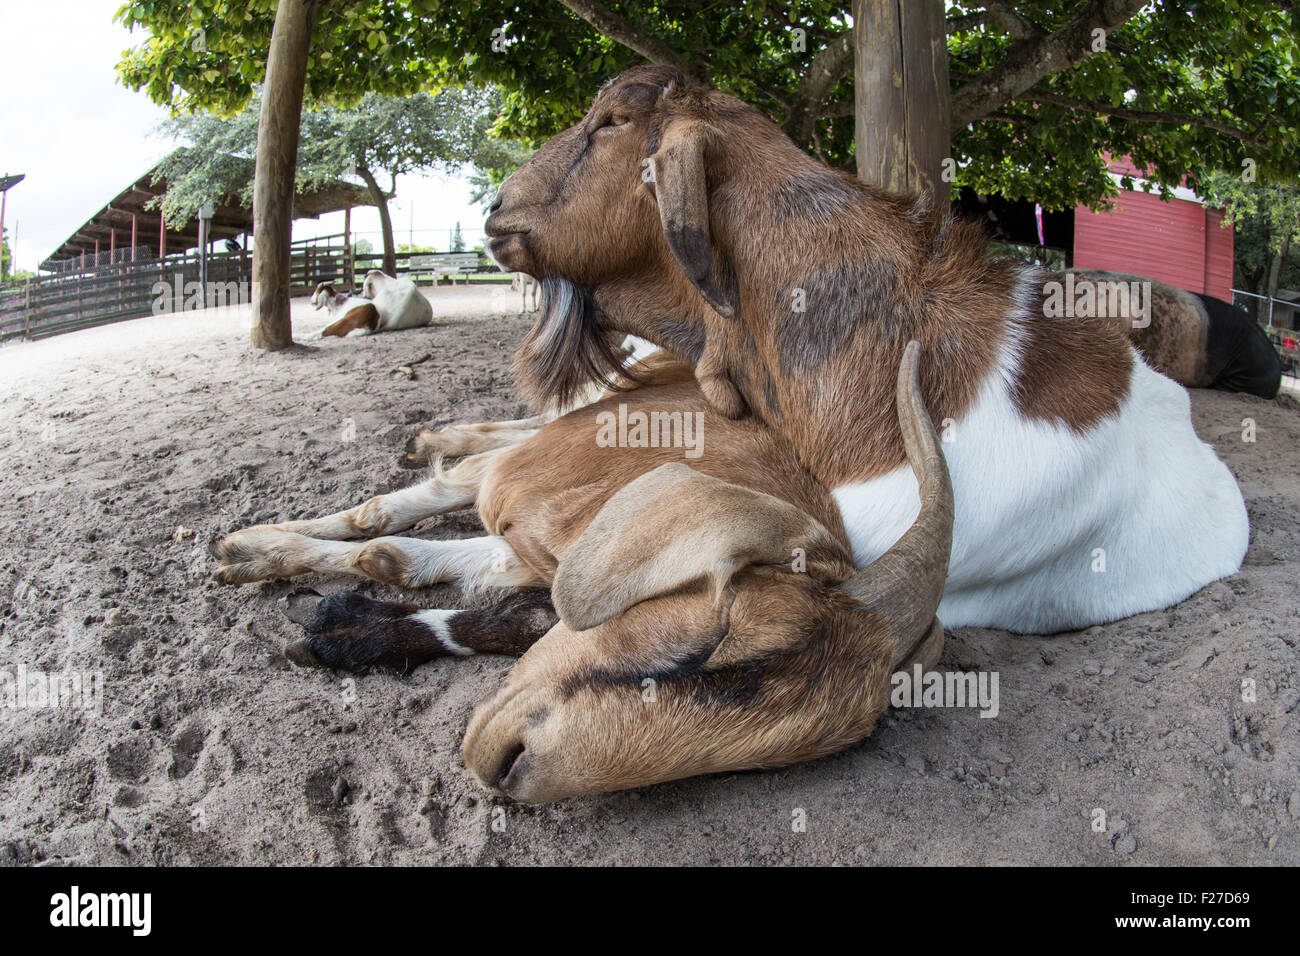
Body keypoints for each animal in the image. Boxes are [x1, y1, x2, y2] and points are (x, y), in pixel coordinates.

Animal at [214, 343, 952, 801]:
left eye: (748, 763)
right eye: (718, 639)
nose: (505, 765)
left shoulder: (531, 548)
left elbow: (425, 569)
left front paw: (340, 630)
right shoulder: (510, 484)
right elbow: (382, 521)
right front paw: (248, 550)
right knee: (535, 416)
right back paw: (431, 438)